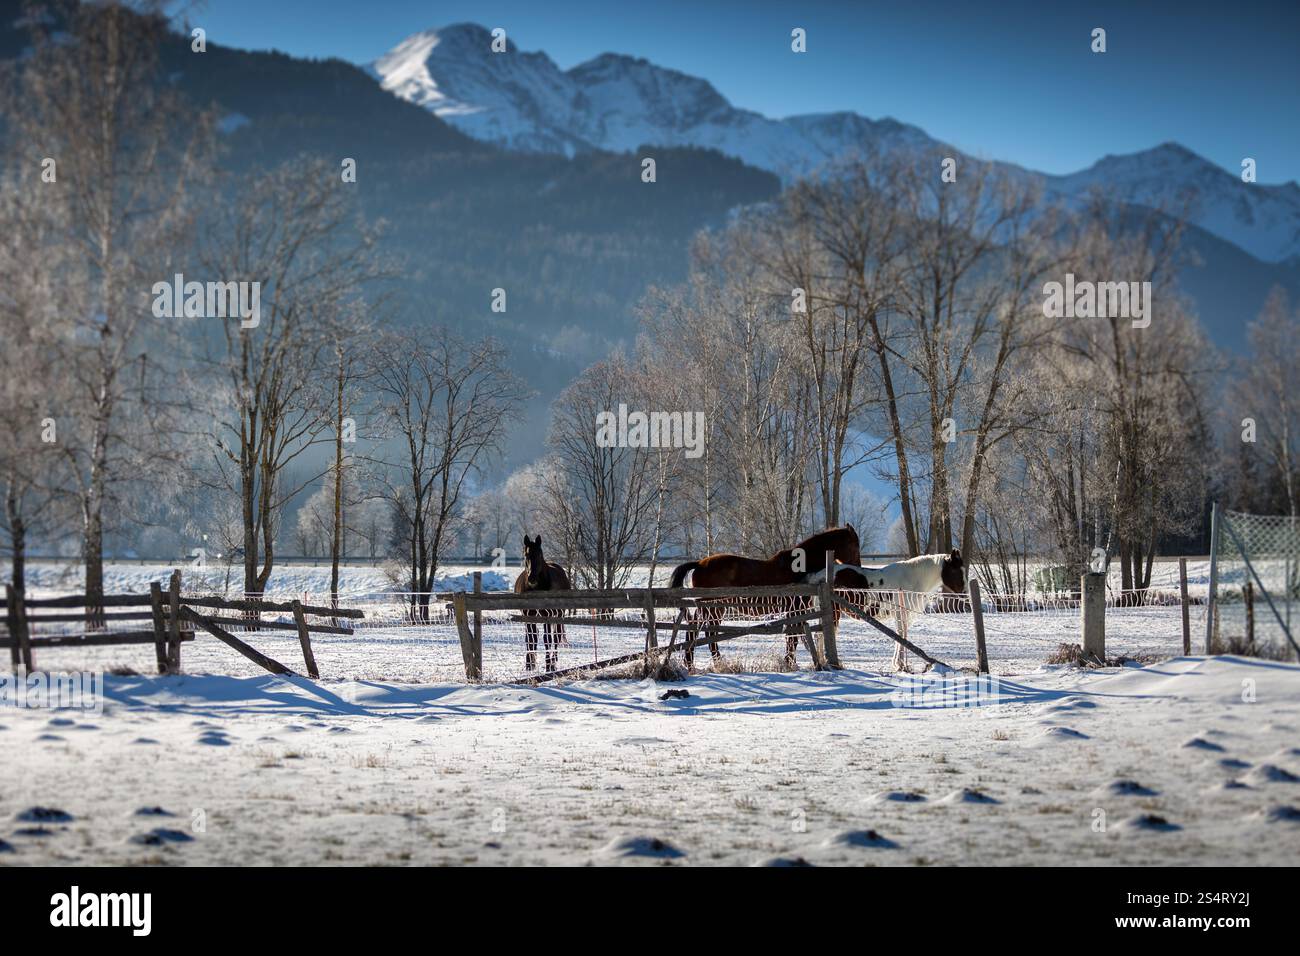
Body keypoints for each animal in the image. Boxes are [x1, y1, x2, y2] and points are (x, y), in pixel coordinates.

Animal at [514, 535, 571, 672]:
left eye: (539, 554)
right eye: (526, 555)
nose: (532, 578)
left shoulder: (547, 615)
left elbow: (547, 639)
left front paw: (549, 665)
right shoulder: (528, 616)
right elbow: (530, 639)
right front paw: (529, 665)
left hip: (559, 615)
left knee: (556, 637)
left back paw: (553, 663)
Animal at [668, 525, 861, 669]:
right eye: (855, 546)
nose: (857, 568)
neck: (800, 566)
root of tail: (700, 563)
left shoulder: (794, 610)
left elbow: (792, 637)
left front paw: (790, 662)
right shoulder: (794, 608)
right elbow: (793, 638)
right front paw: (789, 662)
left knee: (702, 631)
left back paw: (696, 662)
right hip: (712, 607)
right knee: (702, 632)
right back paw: (708, 662)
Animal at [809, 550, 965, 671]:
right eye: (955, 570)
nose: (964, 593)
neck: (912, 579)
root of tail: (819, 577)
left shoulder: (903, 615)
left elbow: (900, 635)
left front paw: (898, 664)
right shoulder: (901, 613)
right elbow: (901, 635)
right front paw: (900, 664)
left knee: (819, 635)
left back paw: (822, 662)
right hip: (833, 614)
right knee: (820, 635)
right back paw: (826, 663)